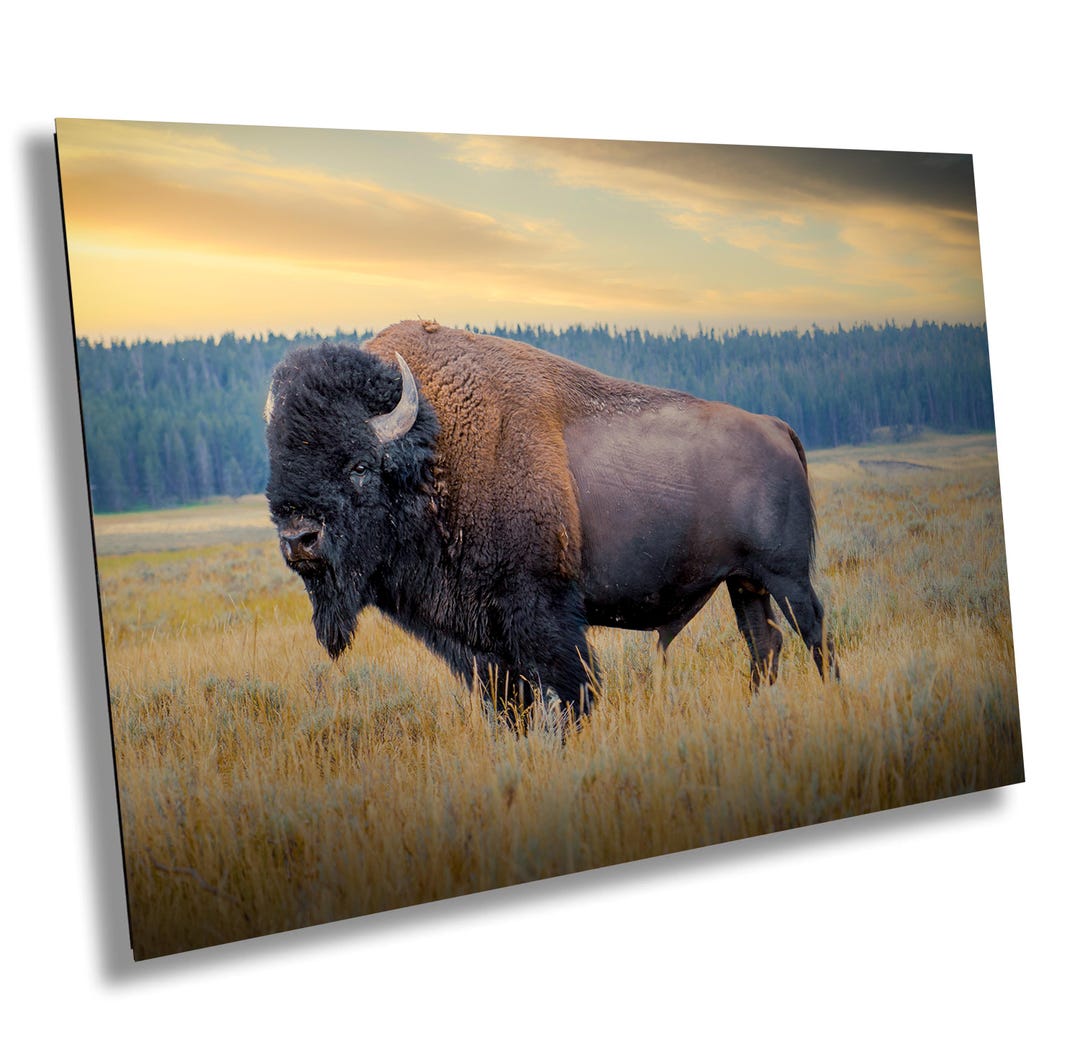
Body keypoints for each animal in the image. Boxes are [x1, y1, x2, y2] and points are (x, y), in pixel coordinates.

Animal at [265, 320, 836, 724]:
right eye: (278, 463)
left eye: (359, 465)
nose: (300, 539)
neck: (433, 453)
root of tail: (777, 427)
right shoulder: (480, 645)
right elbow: (509, 707)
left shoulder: (541, 611)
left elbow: (569, 693)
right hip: (745, 583)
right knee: (765, 644)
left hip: (786, 576)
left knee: (813, 634)